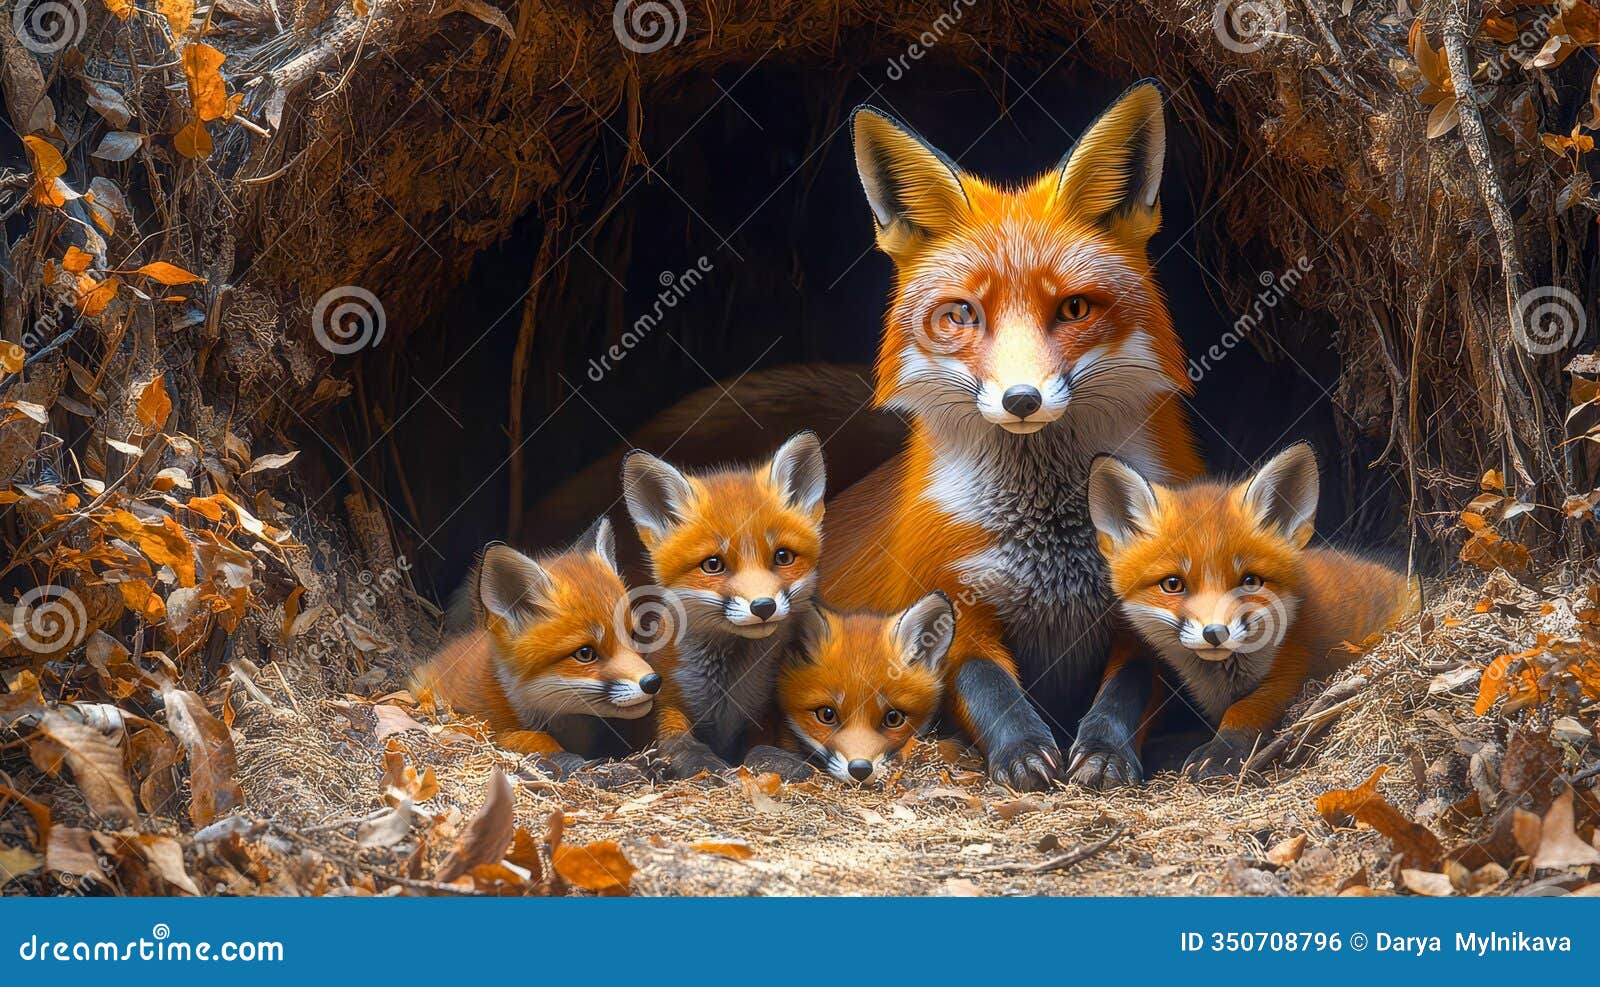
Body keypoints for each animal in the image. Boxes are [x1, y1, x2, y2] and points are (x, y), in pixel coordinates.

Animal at [622, 431, 827, 780]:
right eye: (713, 565)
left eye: (783, 557)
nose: (763, 606)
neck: (725, 692)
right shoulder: (665, 700)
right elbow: (676, 739)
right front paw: (696, 763)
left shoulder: (764, 712)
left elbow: (764, 747)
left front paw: (780, 761)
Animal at [821, 81, 1202, 791]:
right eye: (962, 314)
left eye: (1074, 308)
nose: (1021, 399)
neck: (1052, 544)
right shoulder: (948, 598)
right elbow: (987, 685)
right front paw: (1022, 750)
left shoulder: (1157, 604)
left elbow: (1130, 686)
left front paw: (1104, 751)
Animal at [1087, 443, 1416, 779]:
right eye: (1173, 584)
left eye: (1250, 582)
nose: (1215, 633)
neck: (1221, 681)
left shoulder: (1293, 671)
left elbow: (1245, 709)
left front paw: (1220, 754)